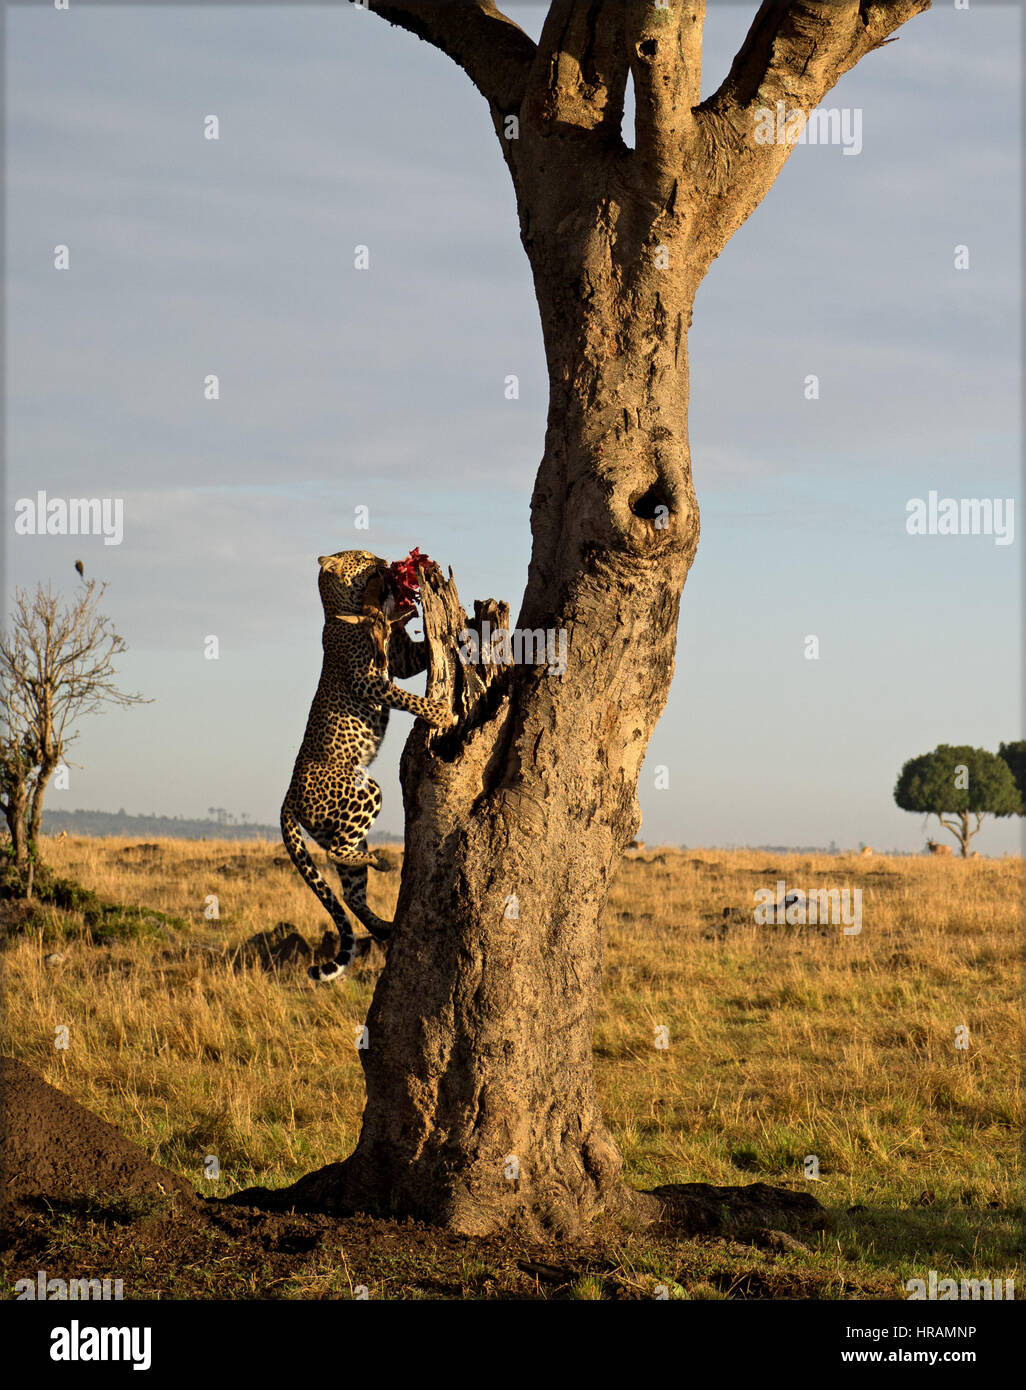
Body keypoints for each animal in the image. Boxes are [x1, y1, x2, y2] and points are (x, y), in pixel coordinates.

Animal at [280, 549, 452, 983]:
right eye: (360, 557)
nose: (383, 559)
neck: (346, 611)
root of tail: (287, 796)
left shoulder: (400, 660)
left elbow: (416, 656)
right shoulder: (370, 679)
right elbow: (408, 698)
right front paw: (439, 712)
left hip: (338, 823)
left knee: (349, 891)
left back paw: (385, 926)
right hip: (362, 793)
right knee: (338, 853)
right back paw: (384, 862)